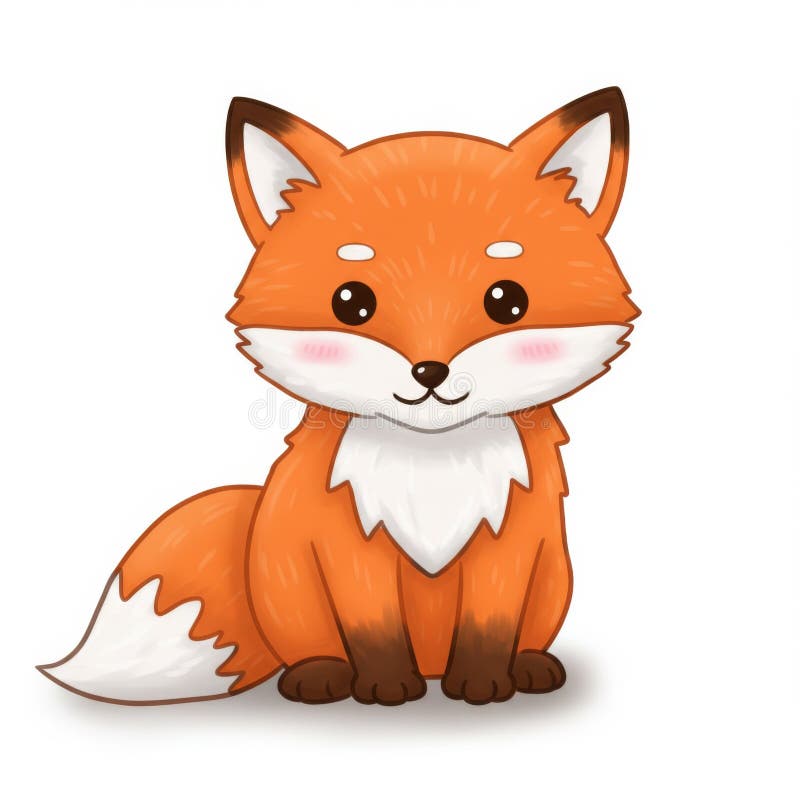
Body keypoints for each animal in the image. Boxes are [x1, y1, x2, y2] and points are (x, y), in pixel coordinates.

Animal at [38, 87, 637, 706]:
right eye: (351, 301)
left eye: (507, 300)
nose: (430, 371)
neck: (432, 465)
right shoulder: (346, 546)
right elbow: (372, 627)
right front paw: (384, 685)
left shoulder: (509, 547)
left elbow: (488, 625)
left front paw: (482, 681)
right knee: (310, 645)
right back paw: (320, 675)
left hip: (555, 580)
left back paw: (529, 665)